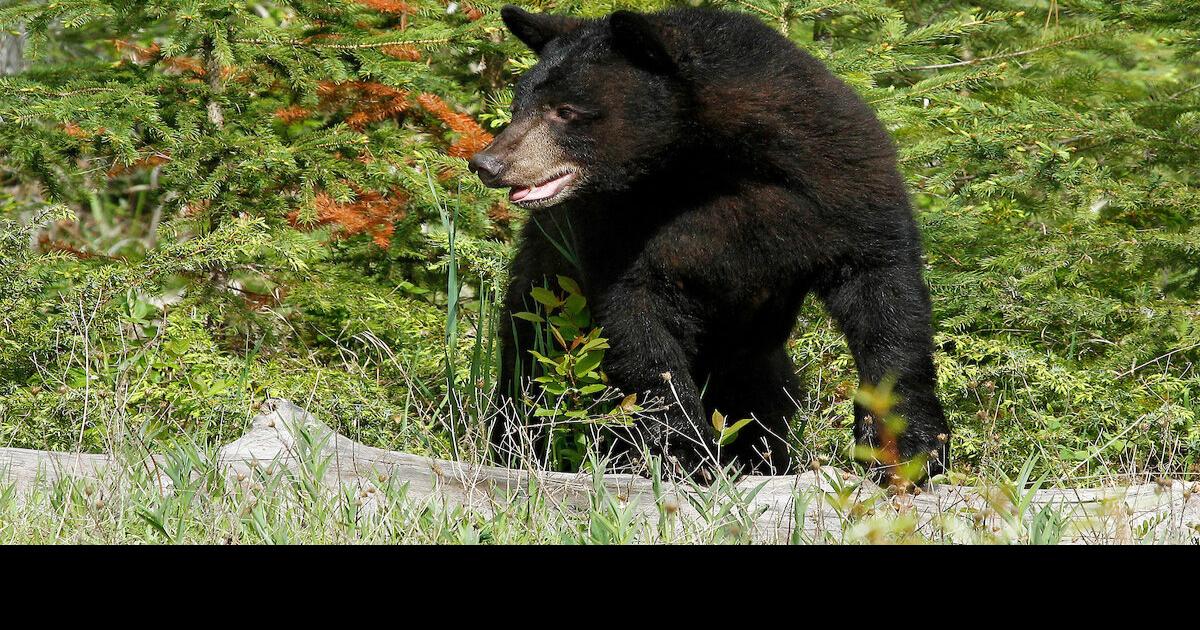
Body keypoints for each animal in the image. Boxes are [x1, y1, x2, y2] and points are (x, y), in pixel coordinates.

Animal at [470, 5, 951, 483]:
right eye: (518, 105)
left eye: (566, 110)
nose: (487, 163)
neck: (706, 166)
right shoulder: (616, 226)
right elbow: (638, 320)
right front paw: (689, 453)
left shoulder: (837, 183)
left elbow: (882, 293)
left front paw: (910, 447)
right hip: (545, 298)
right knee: (529, 369)